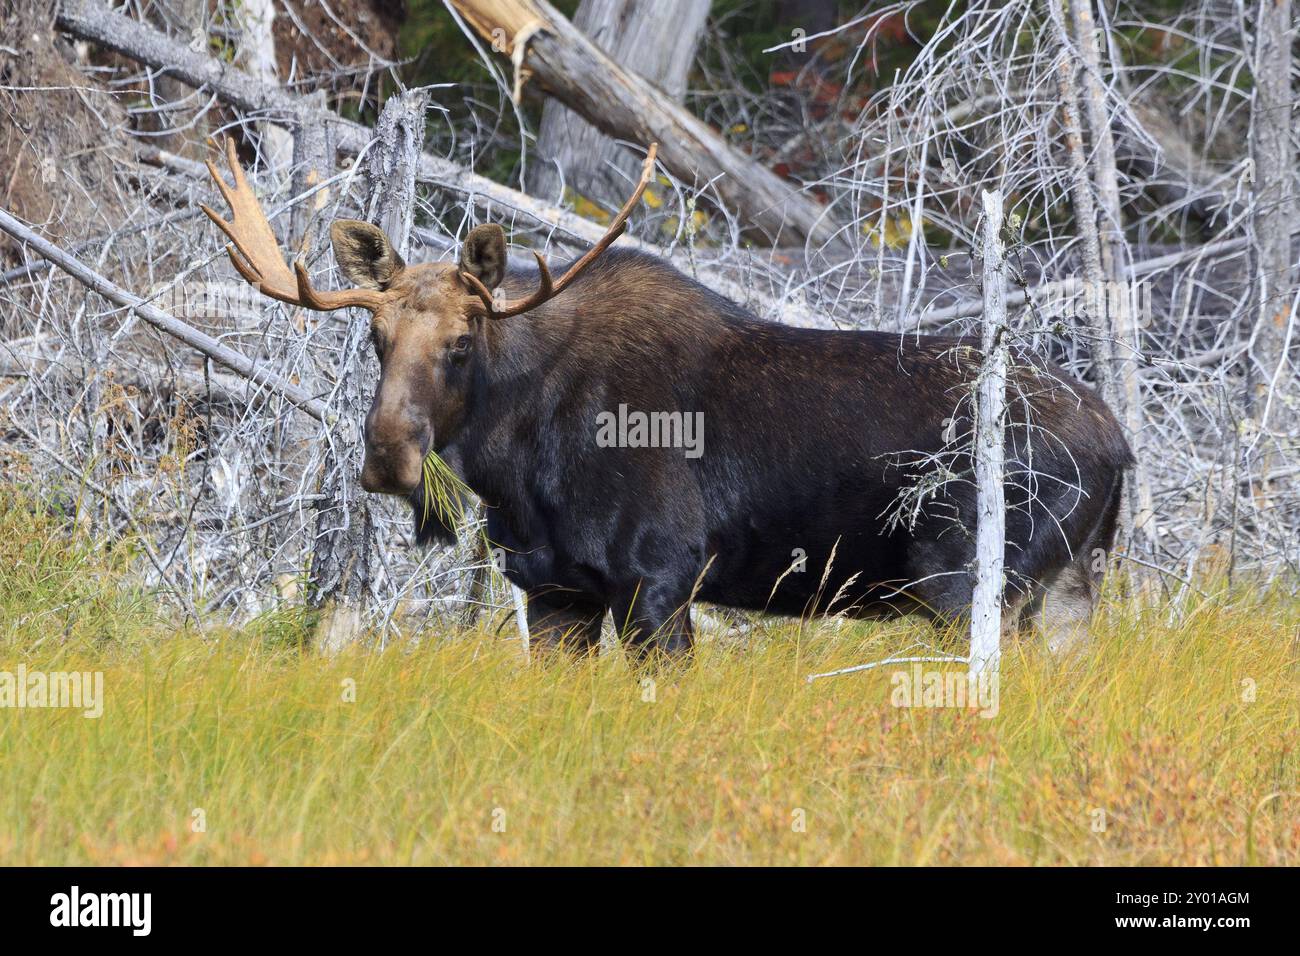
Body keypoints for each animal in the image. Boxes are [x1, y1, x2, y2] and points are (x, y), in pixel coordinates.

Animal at [202, 136, 1132, 659]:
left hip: (974, 581)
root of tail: (1120, 443)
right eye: (375, 339)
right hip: (1067, 587)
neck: (518, 468)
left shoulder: (660, 578)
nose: (388, 457)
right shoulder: (554, 590)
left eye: (463, 344)